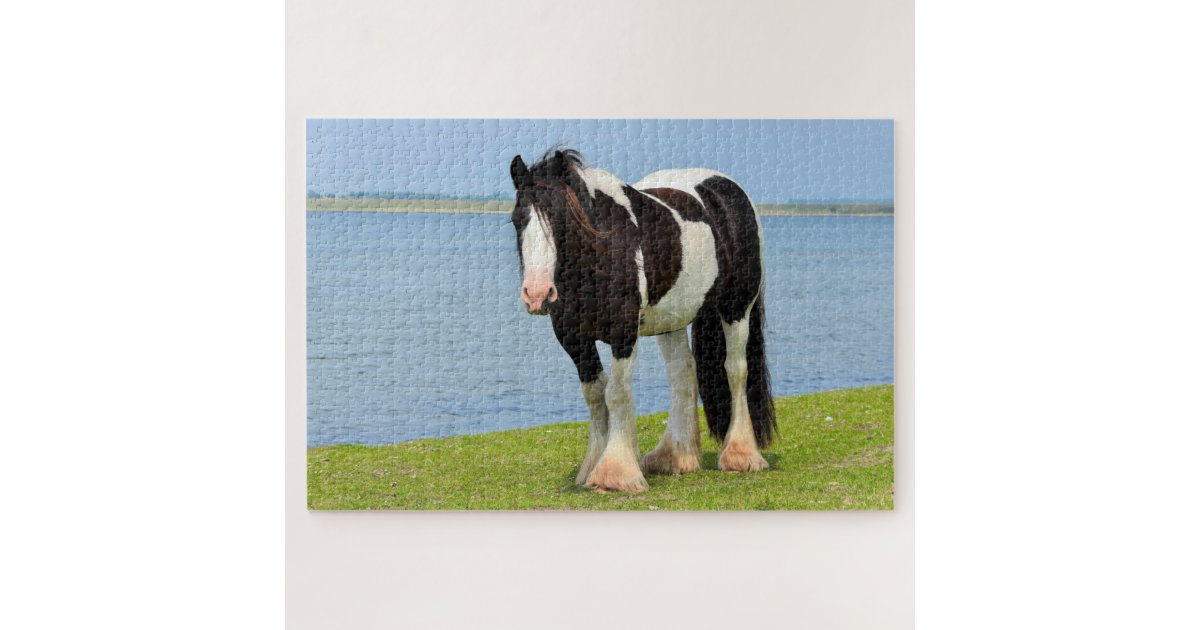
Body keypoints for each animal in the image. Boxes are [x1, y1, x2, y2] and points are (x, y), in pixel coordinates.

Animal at [509, 149, 776, 493]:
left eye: (561, 220)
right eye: (517, 220)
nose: (537, 294)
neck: (605, 248)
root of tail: (727, 189)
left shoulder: (624, 333)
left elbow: (616, 394)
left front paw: (616, 473)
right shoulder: (573, 338)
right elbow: (595, 396)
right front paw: (593, 465)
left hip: (737, 307)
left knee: (735, 369)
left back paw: (741, 455)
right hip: (672, 321)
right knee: (682, 374)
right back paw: (675, 457)